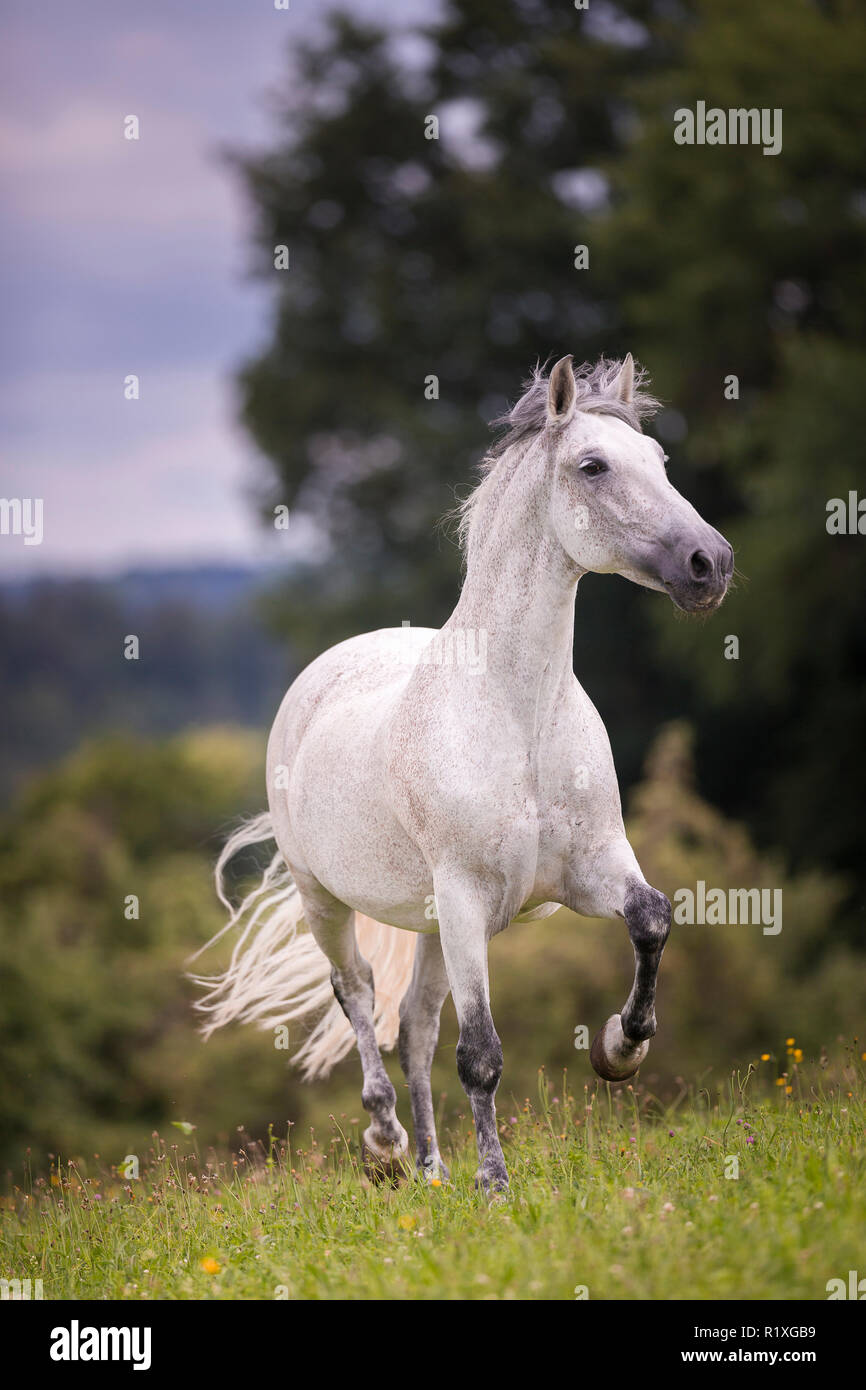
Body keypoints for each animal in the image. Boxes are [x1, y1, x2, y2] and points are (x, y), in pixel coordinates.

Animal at [192, 353, 733, 1194]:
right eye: (593, 466)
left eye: (660, 460)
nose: (711, 565)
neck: (520, 718)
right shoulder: (468, 901)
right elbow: (480, 1055)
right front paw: (496, 1186)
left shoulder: (589, 872)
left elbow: (652, 919)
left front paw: (620, 1049)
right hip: (331, 901)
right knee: (358, 996)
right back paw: (388, 1146)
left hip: (428, 926)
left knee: (413, 1027)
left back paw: (431, 1170)